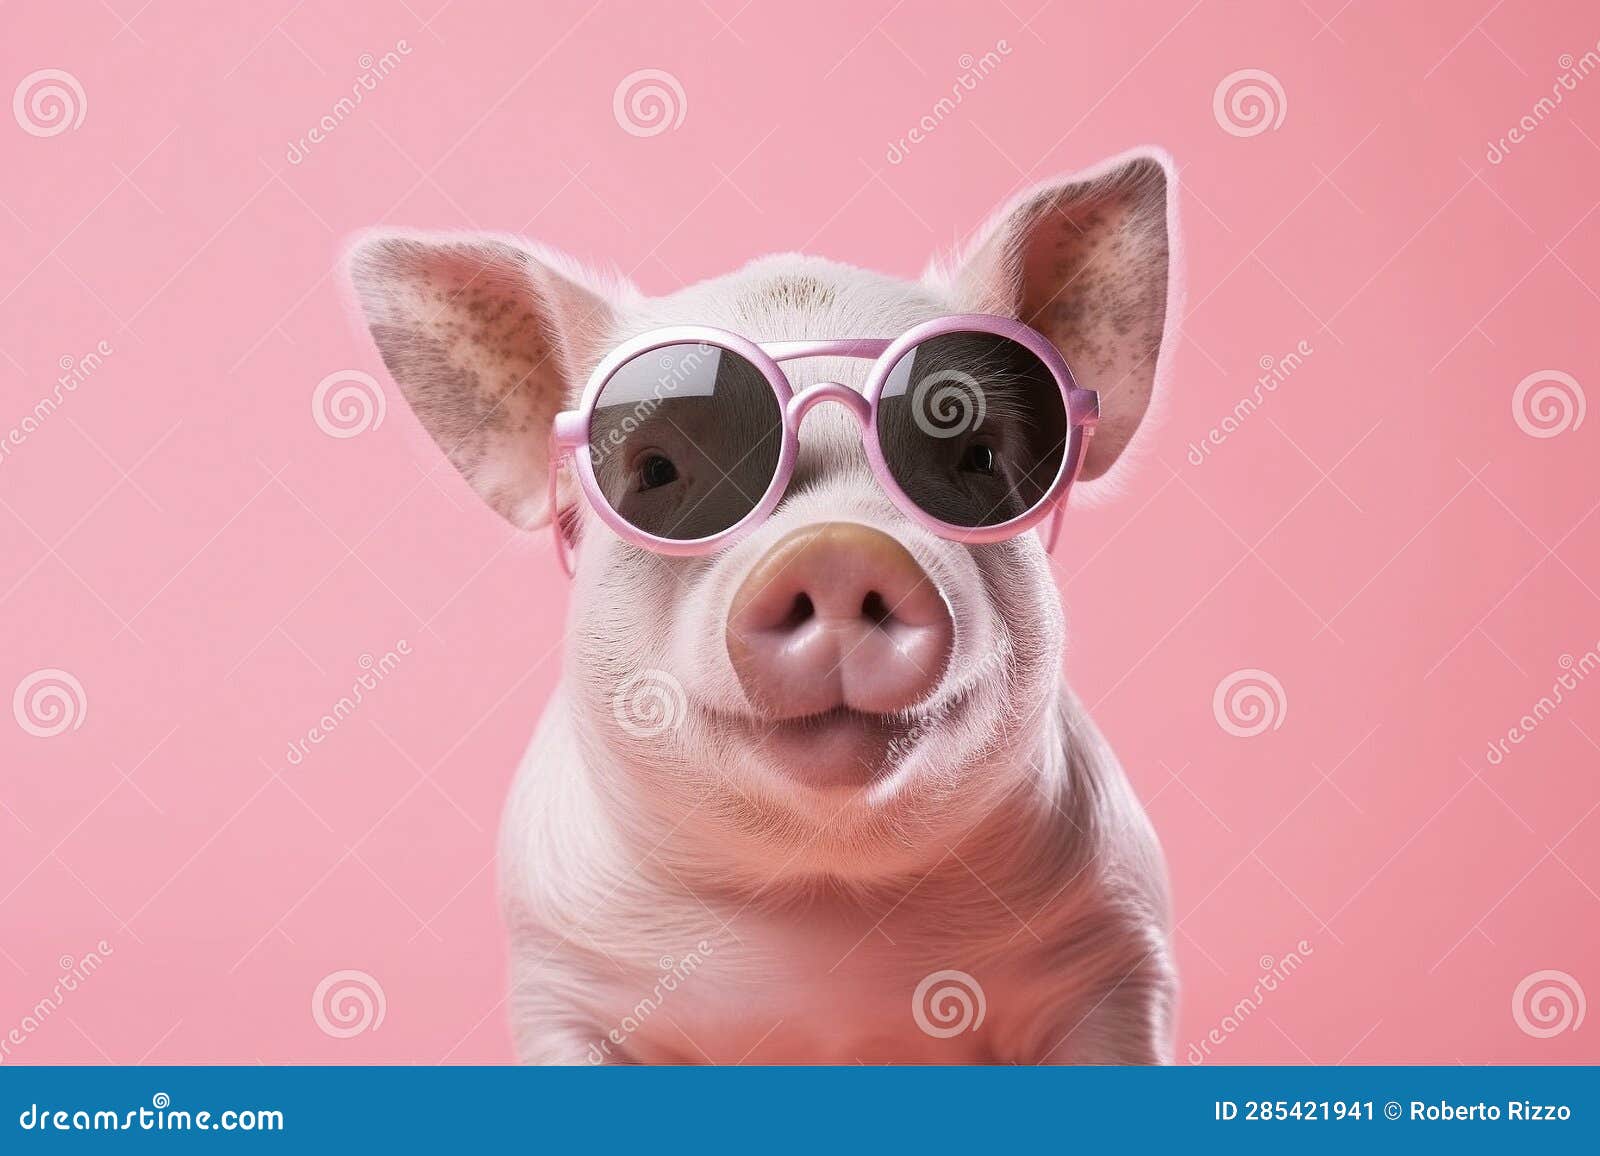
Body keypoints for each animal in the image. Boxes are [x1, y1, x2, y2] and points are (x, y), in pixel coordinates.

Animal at [347, 147, 1179, 1064]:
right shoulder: (557, 984)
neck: (821, 917)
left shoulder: (1118, 953)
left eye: (980, 455)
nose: (838, 547)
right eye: (656, 470)